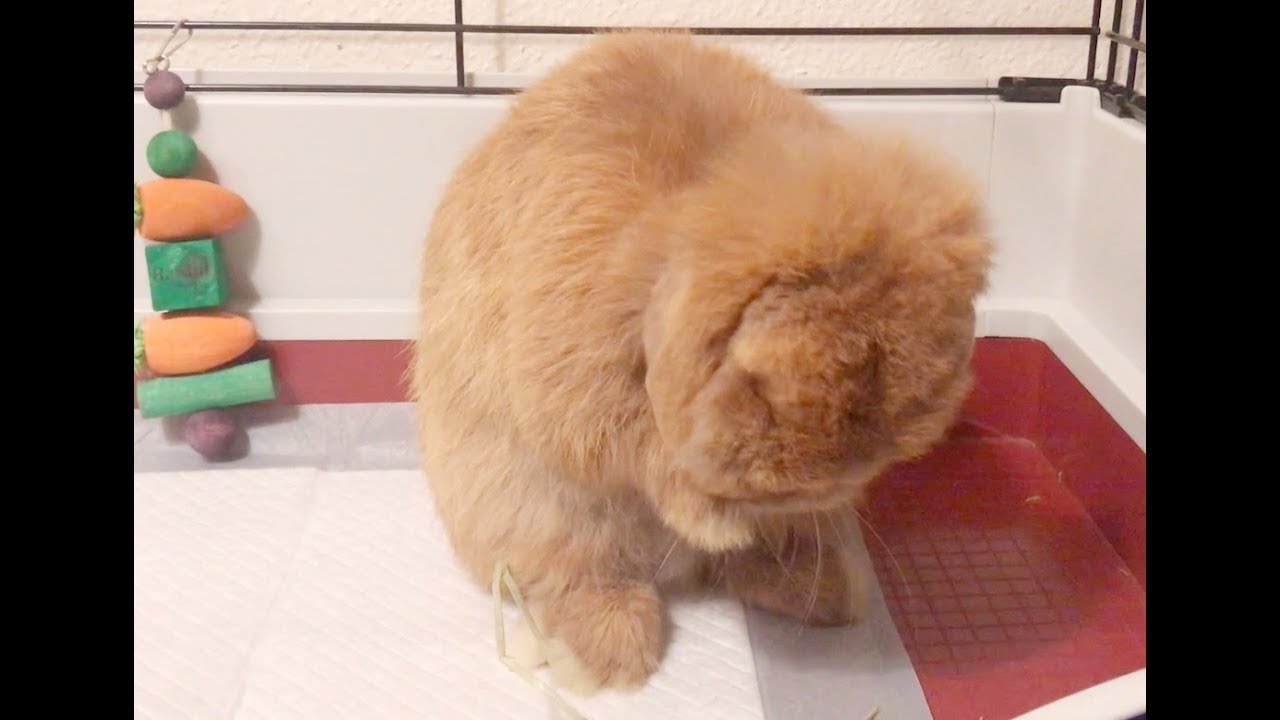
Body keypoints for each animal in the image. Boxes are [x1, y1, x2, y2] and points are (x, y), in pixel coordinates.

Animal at [409, 30, 992, 694]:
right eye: (763, 383)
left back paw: (829, 594)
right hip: (532, 508)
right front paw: (709, 518)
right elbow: (628, 445)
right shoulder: (571, 382)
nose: (813, 490)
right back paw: (607, 657)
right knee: (579, 575)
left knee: (733, 573)